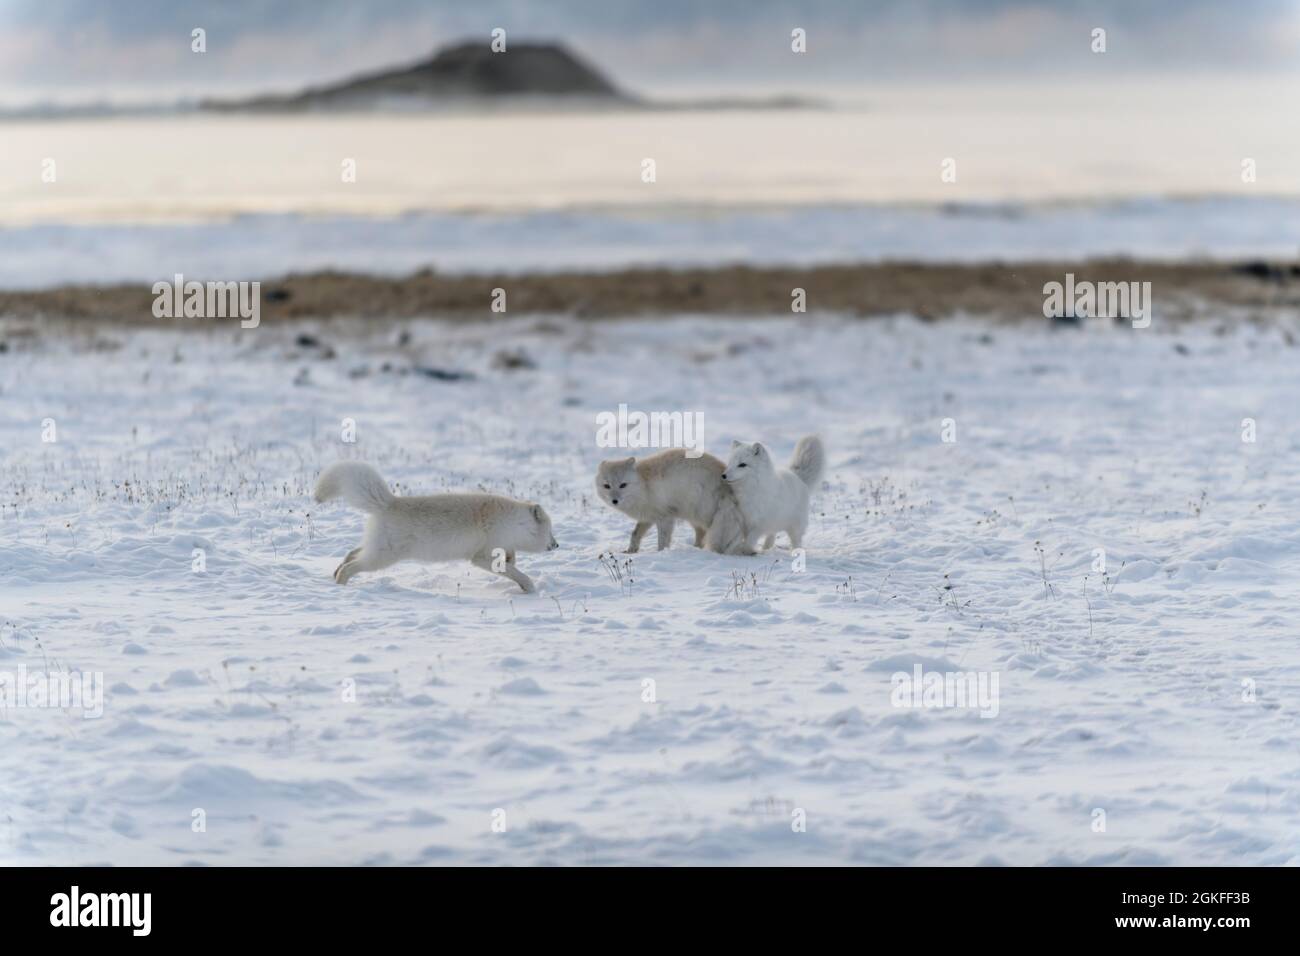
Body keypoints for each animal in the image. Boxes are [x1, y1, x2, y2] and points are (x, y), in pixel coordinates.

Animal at [313, 461, 558, 593]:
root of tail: (389, 502)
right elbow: (515, 572)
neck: (513, 521)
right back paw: (341, 584)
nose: (557, 545)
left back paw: (335, 573)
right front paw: (529, 587)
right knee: (350, 567)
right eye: (550, 530)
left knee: (351, 553)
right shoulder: (481, 557)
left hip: (375, 549)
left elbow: (512, 560)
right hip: (382, 557)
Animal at [595, 448, 748, 554]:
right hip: (692, 514)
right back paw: (695, 548)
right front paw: (631, 550)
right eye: (607, 486)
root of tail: (726, 483)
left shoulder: (665, 517)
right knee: (701, 533)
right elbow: (635, 534)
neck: (643, 485)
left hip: (702, 513)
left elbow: (663, 540)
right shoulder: (648, 517)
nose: (614, 500)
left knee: (706, 532)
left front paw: (660, 553)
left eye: (623, 485)